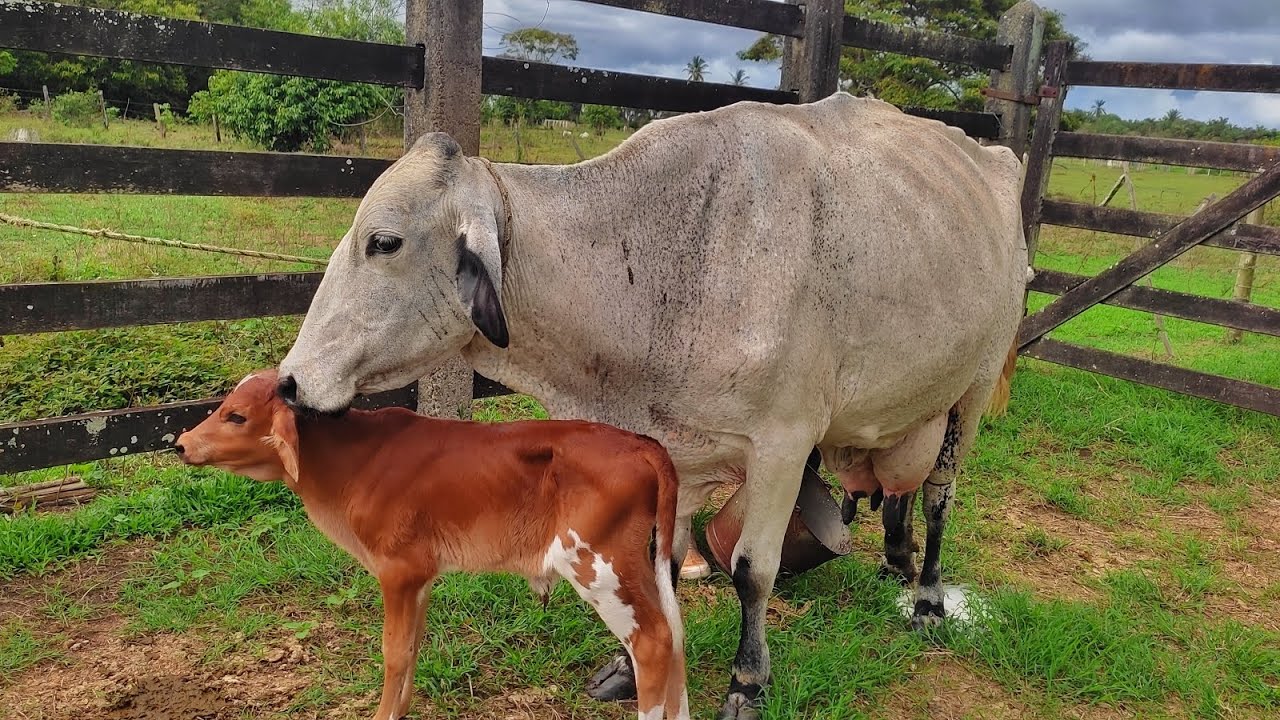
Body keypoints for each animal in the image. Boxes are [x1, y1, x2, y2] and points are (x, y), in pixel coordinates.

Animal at [175, 369, 689, 720]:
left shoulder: (397, 571)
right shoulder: (420, 577)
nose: (181, 443)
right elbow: (413, 645)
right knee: (674, 635)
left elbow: (394, 651)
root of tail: (640, 442)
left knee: (653, 643)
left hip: (597, 565)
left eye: (237, 415)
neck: (351, 462)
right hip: (638, 566)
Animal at [276, 92, 1028, 719]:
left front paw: (746, 682)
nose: (289, 382)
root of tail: (996, 156)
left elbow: (753, 571)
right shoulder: (671, 450)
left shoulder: (783, 443)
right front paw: (632, 665)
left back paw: (926, 599)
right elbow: (661, 564)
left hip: (971, 392)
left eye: (384, 242)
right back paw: (894, 556)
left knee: (938, 497)